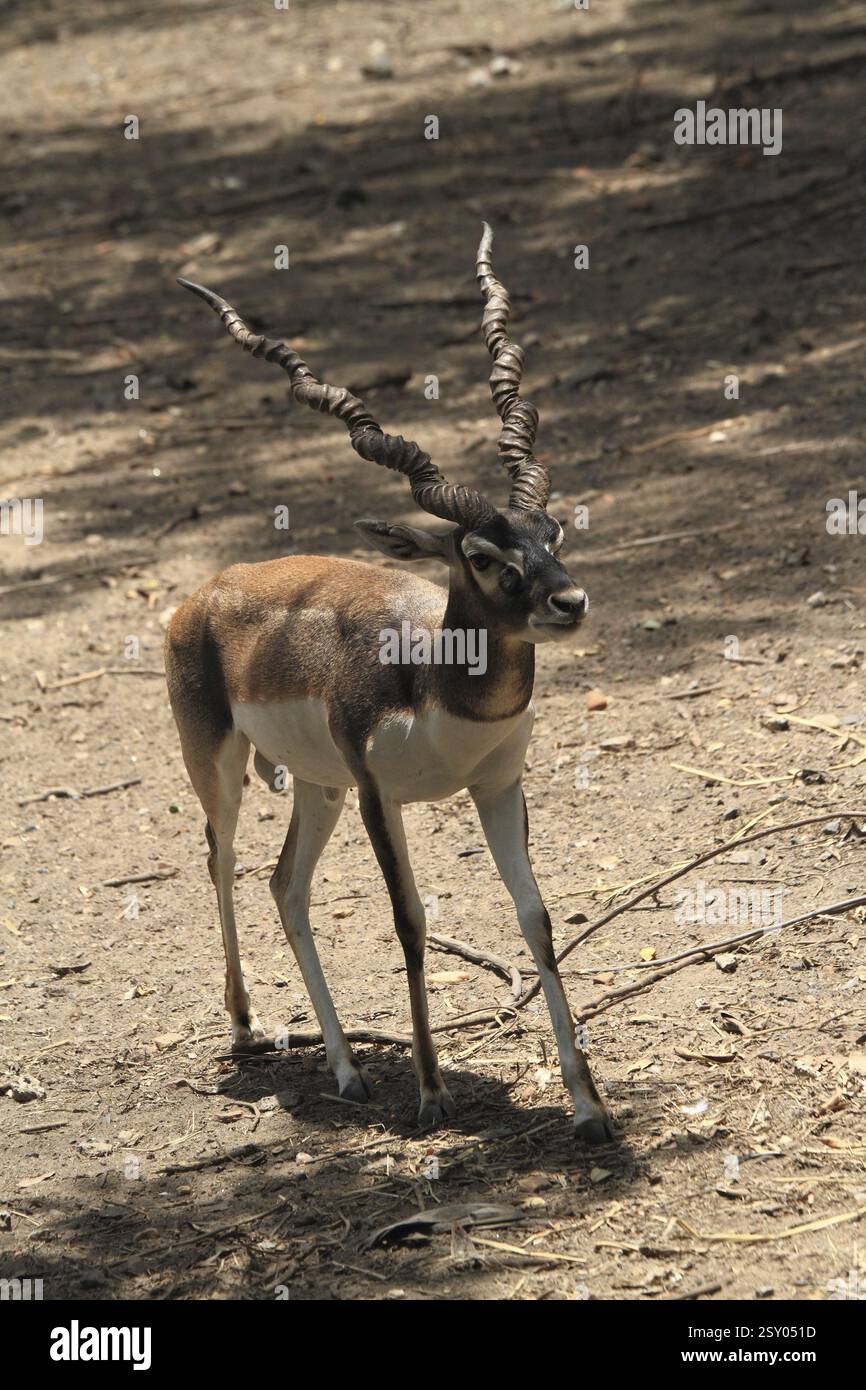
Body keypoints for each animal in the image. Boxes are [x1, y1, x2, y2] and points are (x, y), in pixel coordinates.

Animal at [165, 225, 613, 1144]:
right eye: (481, 554)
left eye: (551, 531)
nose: (569, 601)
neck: (439, 685)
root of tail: (208, 592)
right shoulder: (381, 793)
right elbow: (410, 921)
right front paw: (433, 1092)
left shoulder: (497, 784)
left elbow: (537, 917)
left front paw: (588, 1104)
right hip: (221, 766)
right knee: (221, 861)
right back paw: (246, 1027)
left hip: (318, 787)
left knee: (285, 886)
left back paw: (346, 1069)